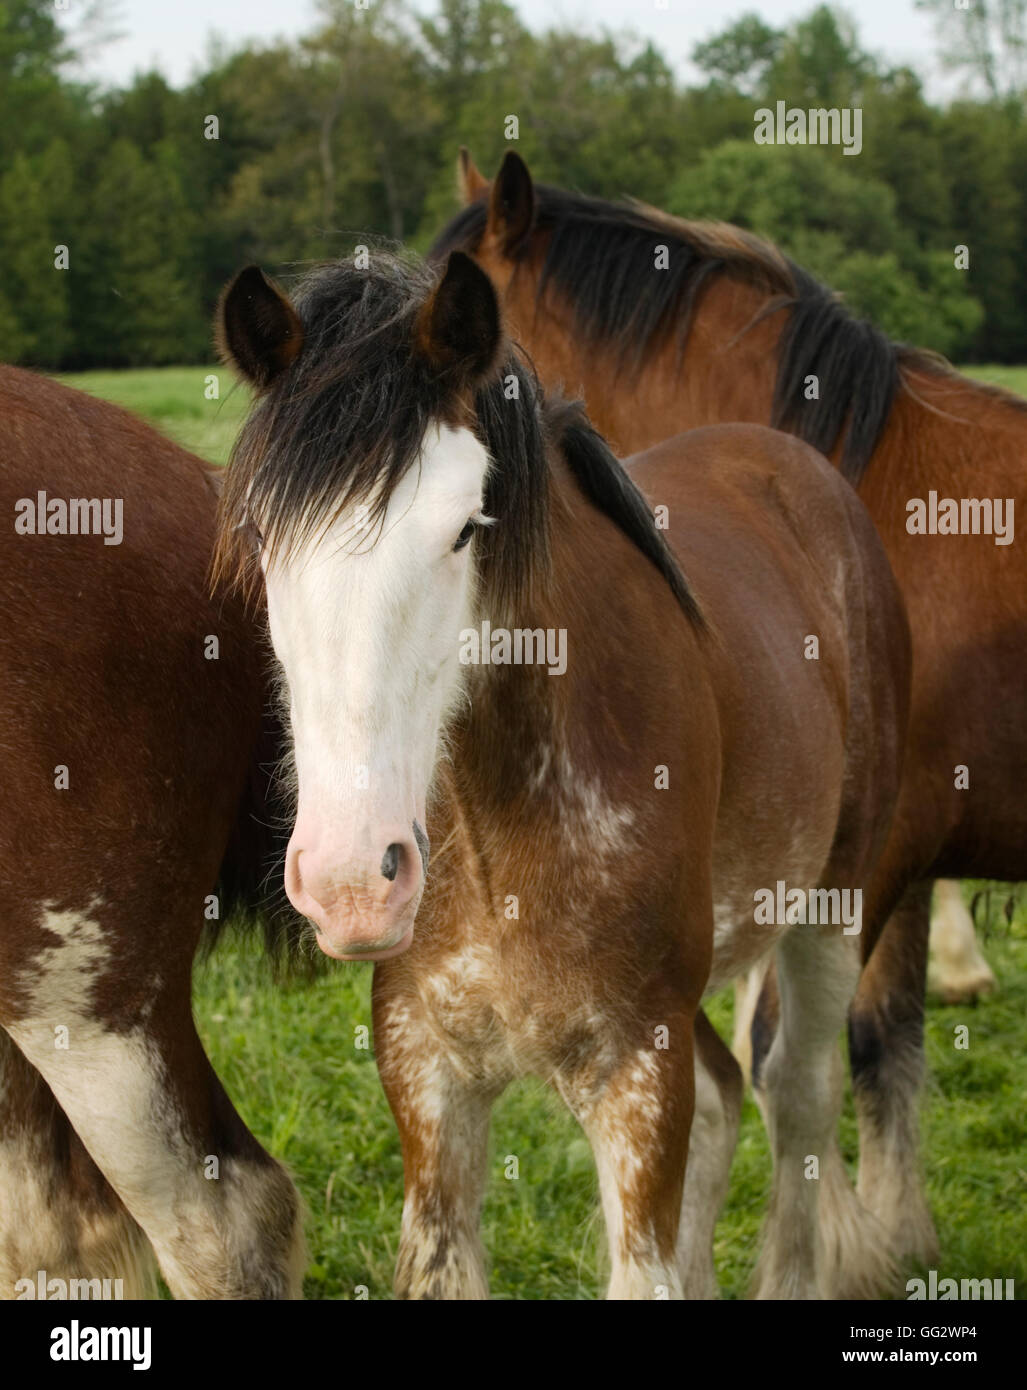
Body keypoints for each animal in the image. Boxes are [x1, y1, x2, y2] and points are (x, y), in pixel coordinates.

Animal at [213, 247, 911, 1298]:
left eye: (466, 528)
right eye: (260, 536)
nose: (349, 881)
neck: (493, 827)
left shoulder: (636, 1080)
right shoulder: (428, 1082)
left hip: (834, 907)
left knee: (798, 1094)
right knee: (729, 1096)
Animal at [429, 149, 1027, 1267]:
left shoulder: (873, 857)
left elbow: (809, 1051)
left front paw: (837, 1248)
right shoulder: (899, 858)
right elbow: (879, 1040)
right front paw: (892, 1234)